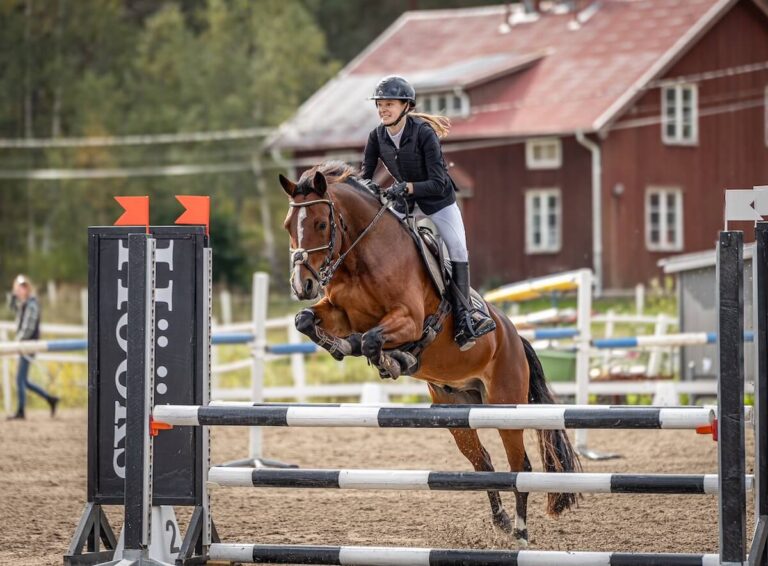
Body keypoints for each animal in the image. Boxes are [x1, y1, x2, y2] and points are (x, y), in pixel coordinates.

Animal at [279, 160, 581, 546]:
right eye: (289, 225)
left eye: (320, 223)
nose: (302, 285)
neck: (361, 257)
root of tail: (515, 337)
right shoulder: (341, 314)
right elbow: (307, 321)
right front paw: (341, 346)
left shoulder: (408, 319)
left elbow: (372, 340)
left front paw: (395, 359)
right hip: (456, 411)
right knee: (482, 462)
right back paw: (500, 520)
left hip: (505, 405)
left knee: (520, 468)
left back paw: (521, 533)